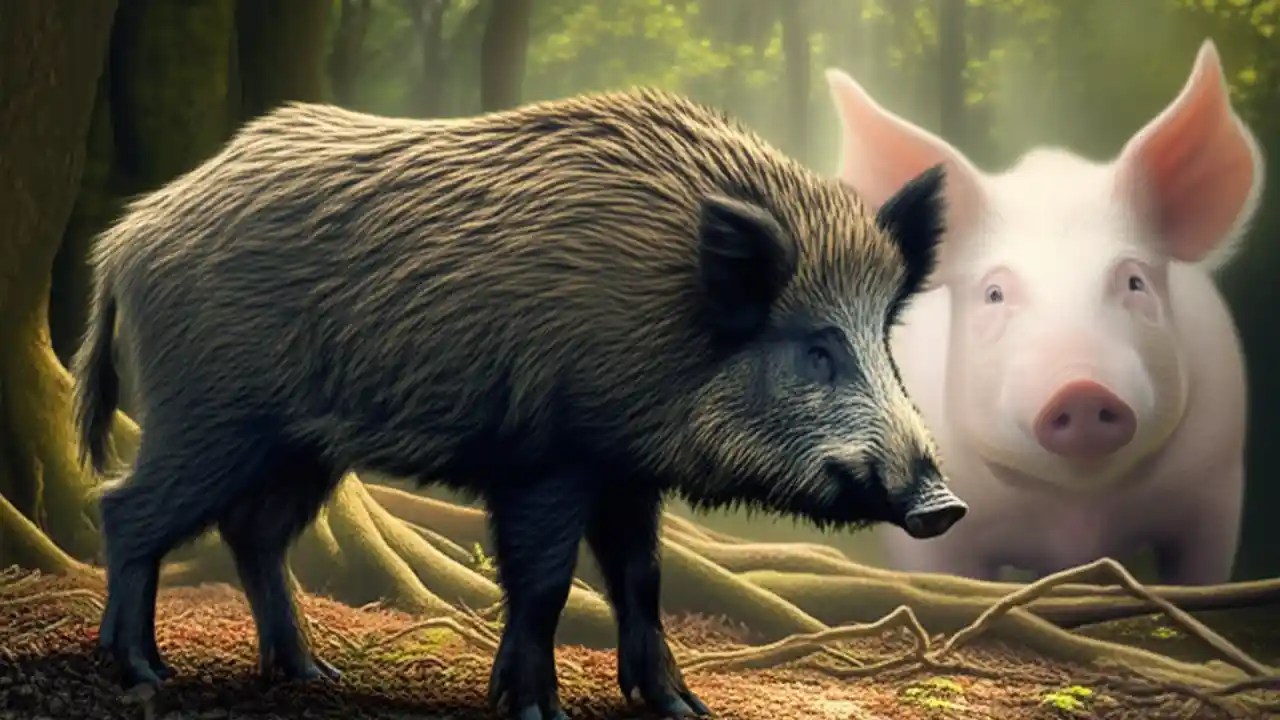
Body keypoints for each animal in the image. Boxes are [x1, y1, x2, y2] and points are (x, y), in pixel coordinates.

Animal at [72, 88, 966, 720]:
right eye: (816, 348)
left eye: (885, 336)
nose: (945, 505)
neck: (667, 321)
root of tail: (126, 237)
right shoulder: (548, 459)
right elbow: (545, 584)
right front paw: (538, 711)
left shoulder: (625, 470)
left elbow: (642, 578)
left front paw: (682, 708)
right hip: (207, 413)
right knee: (127, 508)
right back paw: (143, 671)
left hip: (299, 446)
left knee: (251, 532)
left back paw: (309, 673)